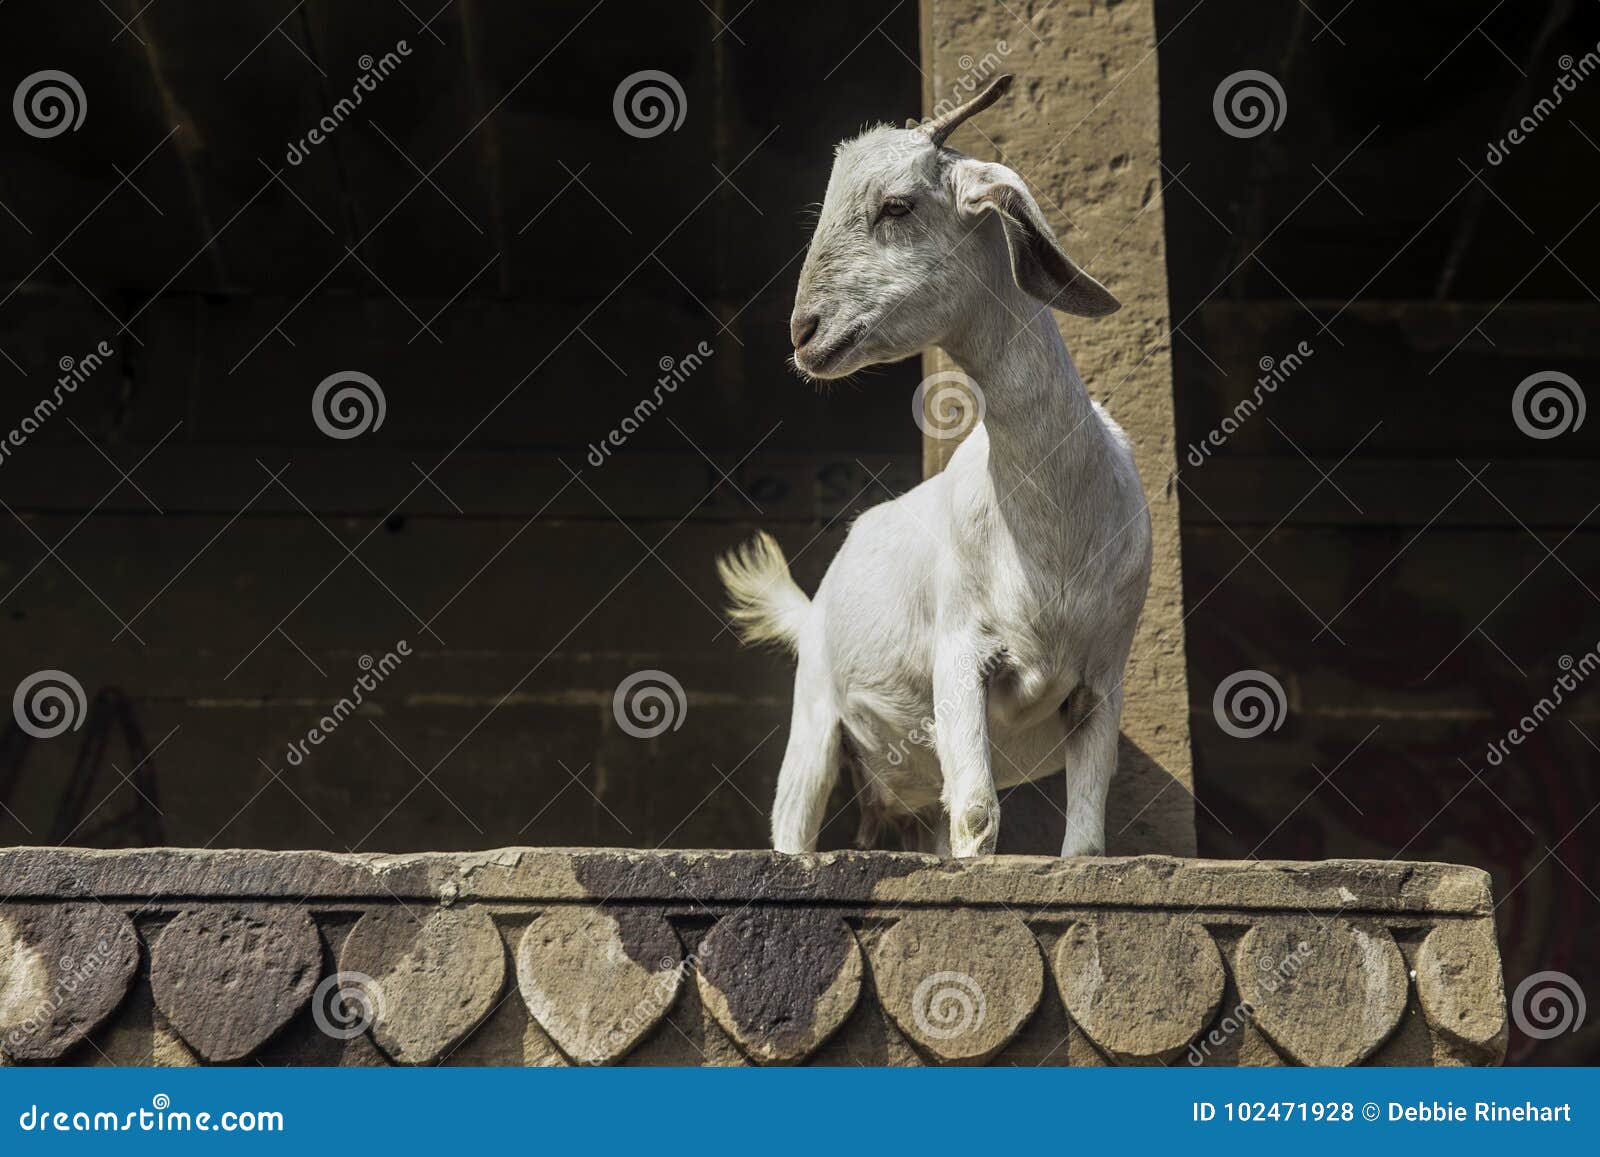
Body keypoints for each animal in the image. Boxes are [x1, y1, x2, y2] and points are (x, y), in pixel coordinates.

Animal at [718, 75, 1152, 858]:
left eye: (896, 205)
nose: (803, 333)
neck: (1059, 524)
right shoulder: (960, 652)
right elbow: (979, 812)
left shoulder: (1102, 682)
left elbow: (1085, 847)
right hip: (815, 716)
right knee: (792, 827)